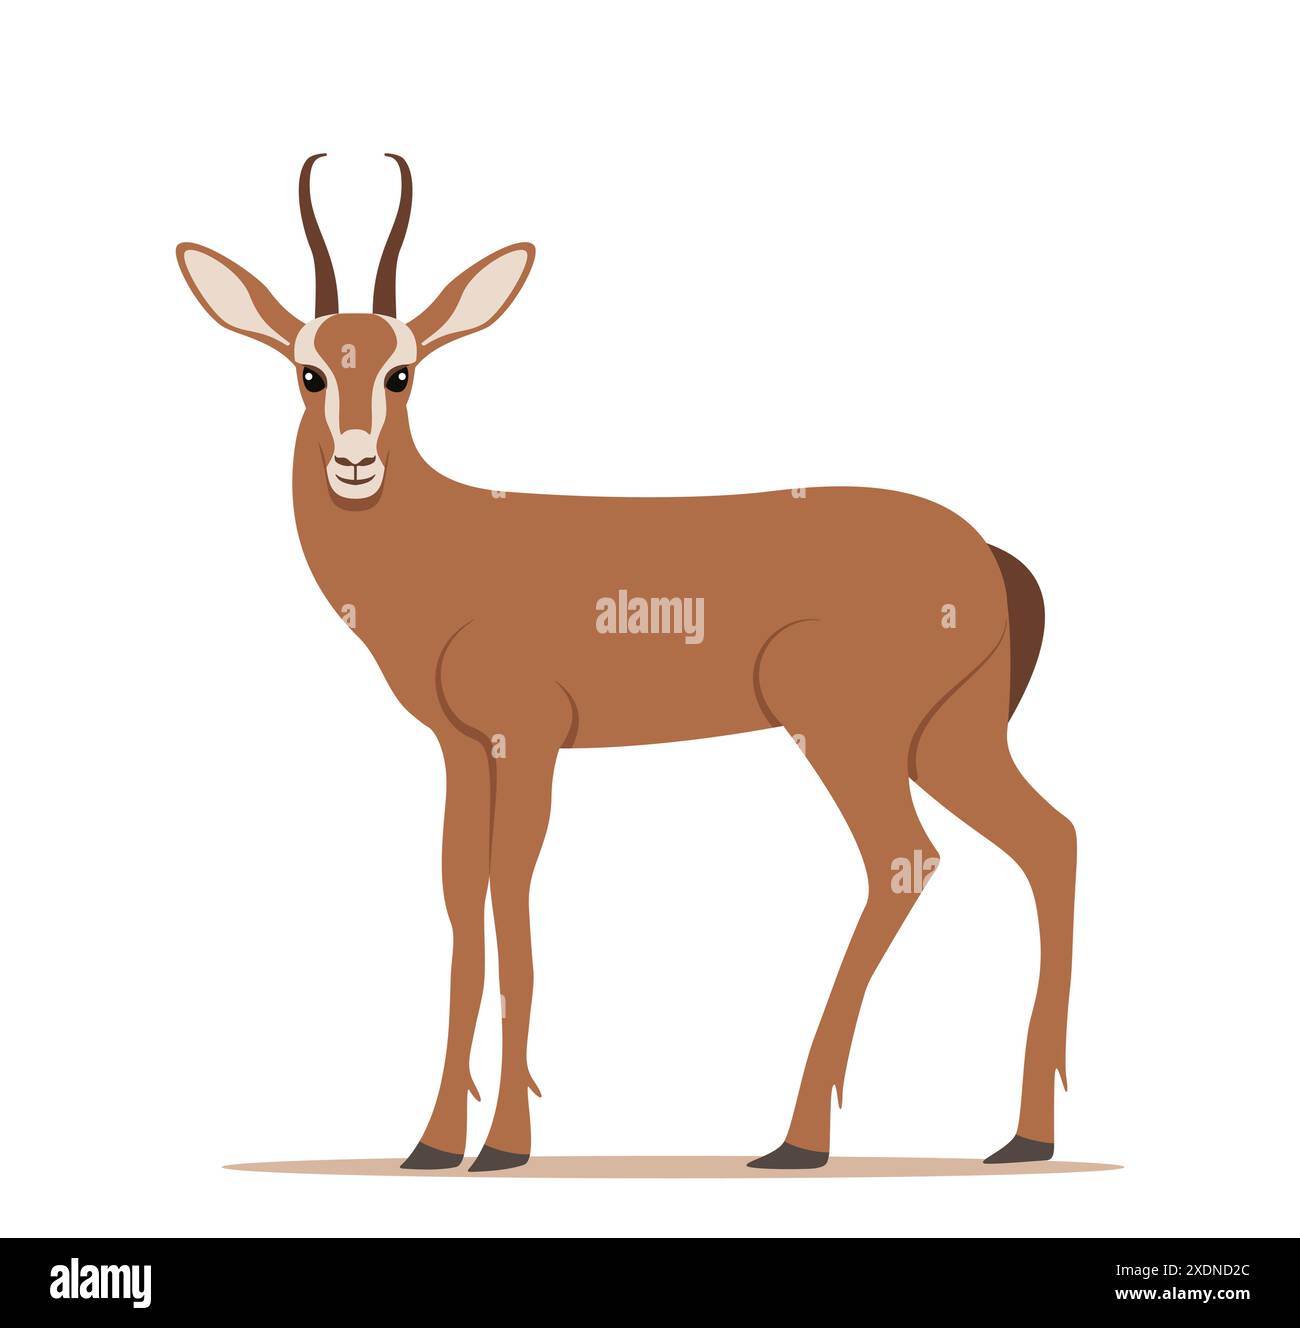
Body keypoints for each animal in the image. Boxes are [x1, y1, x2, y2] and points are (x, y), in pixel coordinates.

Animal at [177, 155, 1076, 1172]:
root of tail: (987, 553)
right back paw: (1023, 1135)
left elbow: (511, 896)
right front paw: (433, 1143)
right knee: (1050, 840)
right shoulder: (463, 749)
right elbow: (460, 901)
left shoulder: (529, 738)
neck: (446, 547)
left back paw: (799, 1139)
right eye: (310, 371)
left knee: (903, 860)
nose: (355, 465)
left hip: (846, 731)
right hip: (947, 740)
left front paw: (505, 1145)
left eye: (402, 373)